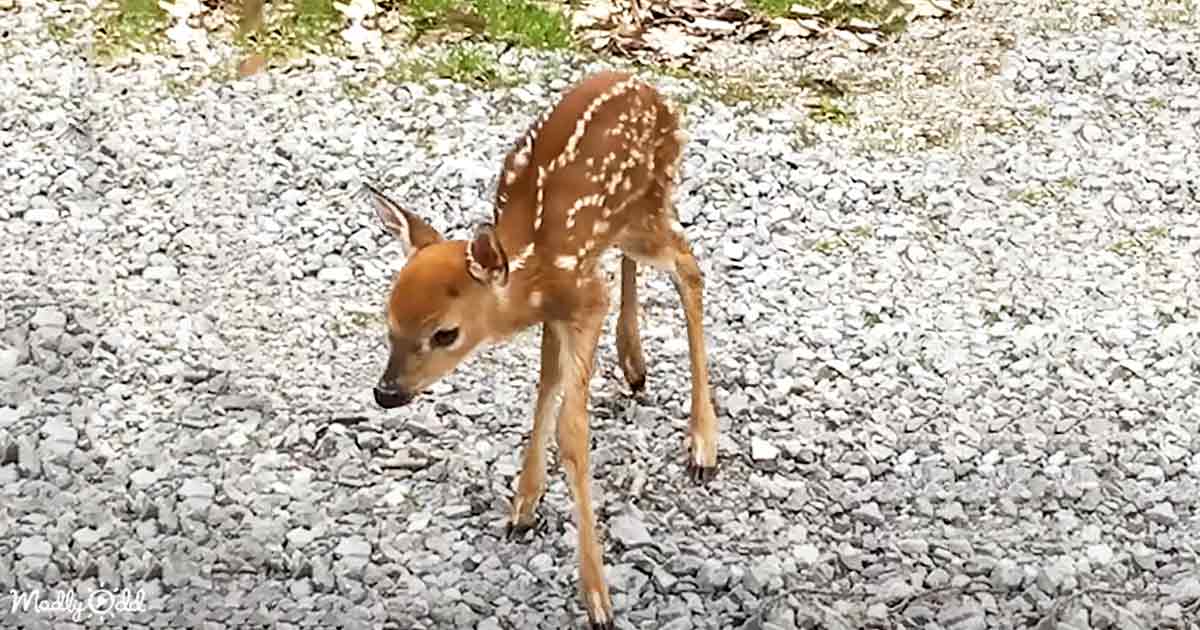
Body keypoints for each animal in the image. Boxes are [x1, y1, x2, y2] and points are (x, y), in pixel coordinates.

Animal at [359, 70, 719, 629]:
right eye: (388, 321)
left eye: (445, 334)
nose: (387, 392)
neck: (534, 268)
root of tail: (652, 90)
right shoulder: (561, 307)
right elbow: (545, 384)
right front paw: (523, 506)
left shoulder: (583, 300)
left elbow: (573, 433)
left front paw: (597, 599)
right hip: (629, 222)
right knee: (645, 261)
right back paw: (633, 362)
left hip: (651, 204)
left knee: (690, 268)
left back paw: (702, 445)